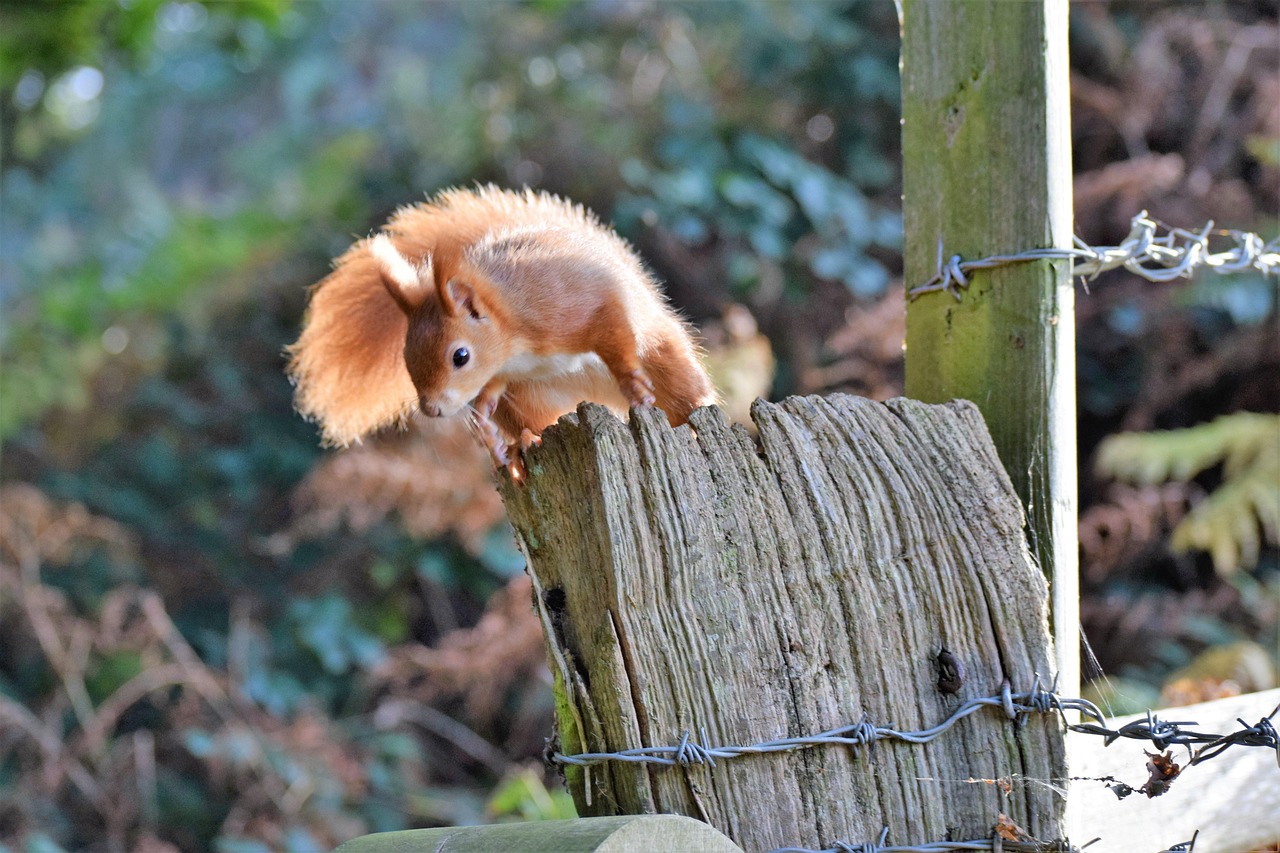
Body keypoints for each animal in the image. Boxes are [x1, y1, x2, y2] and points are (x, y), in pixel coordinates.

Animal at [286, 185, 717, 474]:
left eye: (460, 356)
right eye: (406, 358)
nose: (432, 409)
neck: (514, 336)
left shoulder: (580, 305)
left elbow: (612, 329)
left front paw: (632, 383)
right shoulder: (504, 376)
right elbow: (489, 392)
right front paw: (483, 421)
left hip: (666, 364)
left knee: (683, 396)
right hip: (530, 402)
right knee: (539, 424)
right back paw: (518, 444)